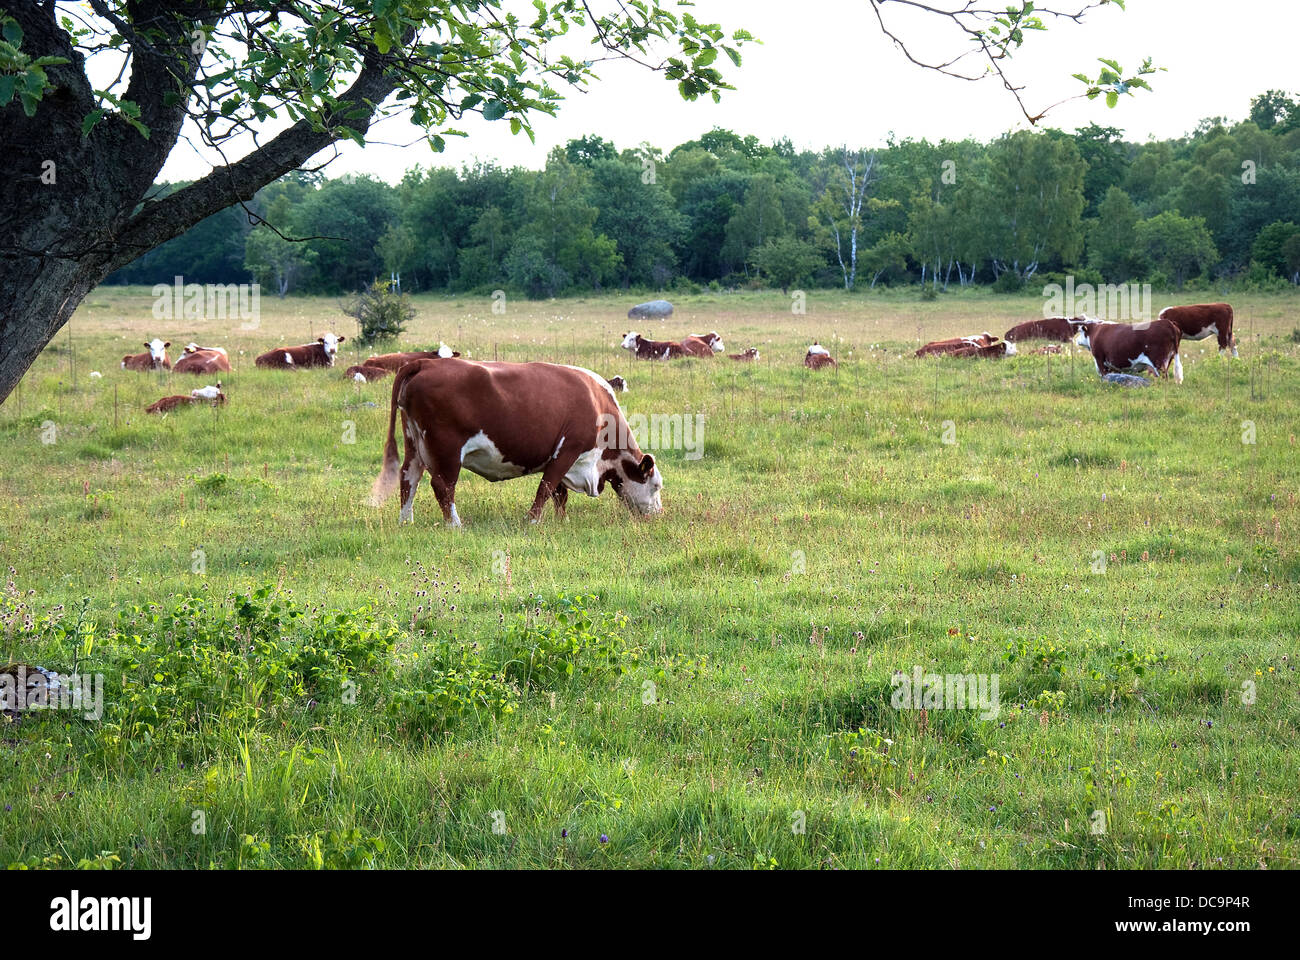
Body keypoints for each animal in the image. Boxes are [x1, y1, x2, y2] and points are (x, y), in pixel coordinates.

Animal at [371, 358, 663, 526]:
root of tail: (423, 362)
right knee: (442, 485)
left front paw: (562, 520)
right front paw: (532, 521)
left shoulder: (559, 457)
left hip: (414, 443)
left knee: (409, 477)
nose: (658, 514)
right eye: (656, 485)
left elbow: (560, 493)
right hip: (446, 449)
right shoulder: (568, 450)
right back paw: (454, 524)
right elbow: (546, 487)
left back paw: (405, 520)